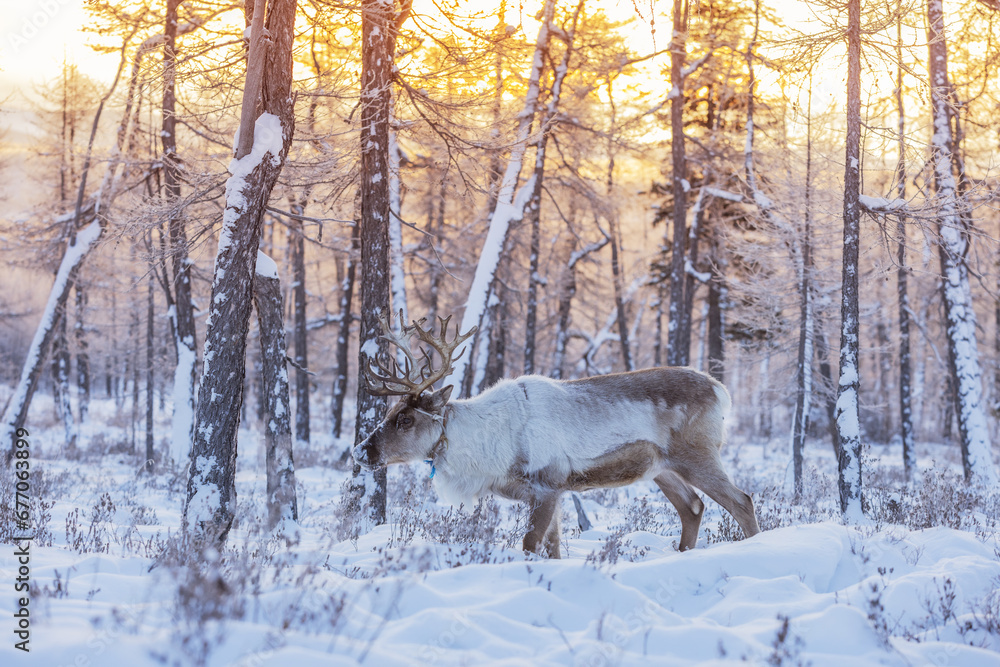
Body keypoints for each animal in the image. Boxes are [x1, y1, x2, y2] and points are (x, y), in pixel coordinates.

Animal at [352, 313, 761, 558]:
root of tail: (721, 389)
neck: (487, 447)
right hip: (662, 469)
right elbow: (553, 547)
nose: (359, 451)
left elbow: (530, 543)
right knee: (693, 507)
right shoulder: (552, 494)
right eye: (388, 413)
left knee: (741, 500)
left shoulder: (546, 486)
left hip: (697, 455)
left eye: (406, 418)